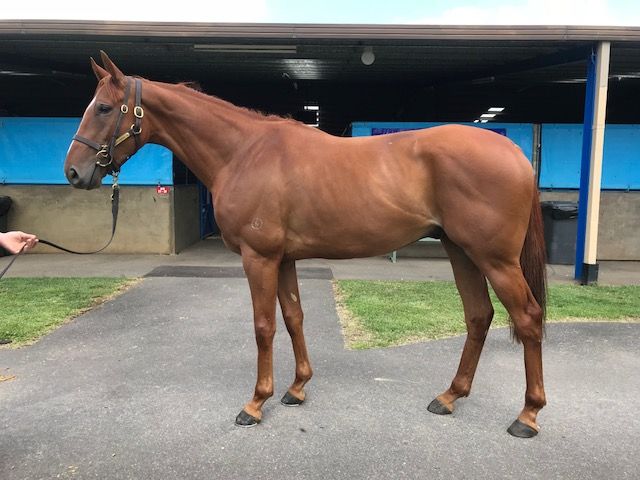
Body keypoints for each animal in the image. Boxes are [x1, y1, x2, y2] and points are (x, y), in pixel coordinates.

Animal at [64, 52, 547, 438]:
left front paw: (256, 403)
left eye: (103, 108)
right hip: (460, 251)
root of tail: (516, 155)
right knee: (478, 316)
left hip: (495, 259)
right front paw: (296, 389)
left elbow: (263, 326)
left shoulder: (259, 258)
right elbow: (294, 317)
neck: (244, 152)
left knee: (527, 318)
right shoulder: (284, 259)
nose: (73, 172)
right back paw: (449, 396)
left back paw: (527, 415)